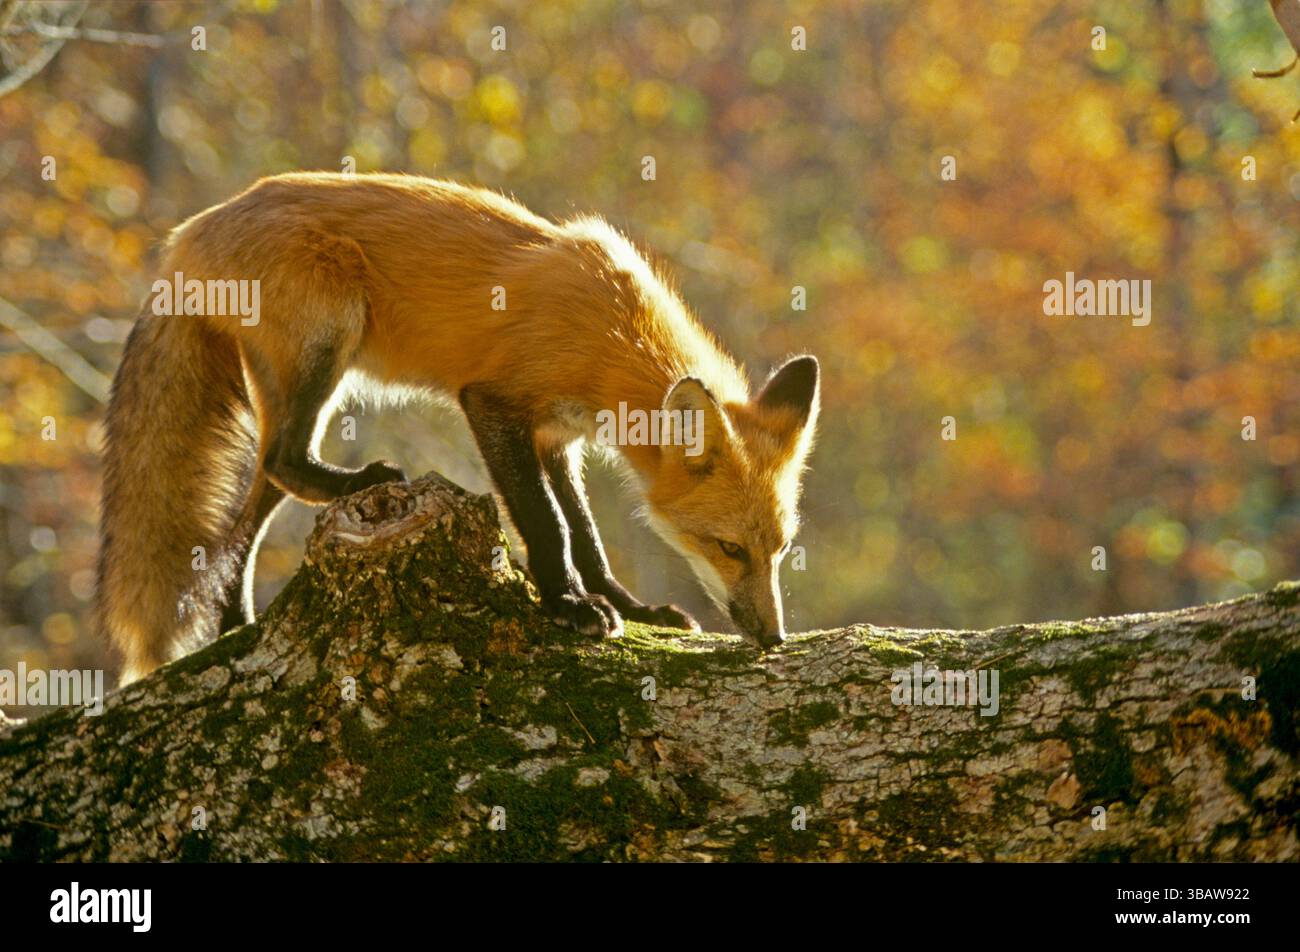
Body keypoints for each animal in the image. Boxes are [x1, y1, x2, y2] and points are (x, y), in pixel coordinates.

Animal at [97, 172, 820, 685]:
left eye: (780, 550)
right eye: (729, 549)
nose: (774, 639)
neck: (615, 336)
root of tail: (188, 233)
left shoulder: (556, 437)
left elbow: (587, 534)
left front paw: (629, 605)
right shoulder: (494, 406)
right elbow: (548, 524)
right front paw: (569, 604)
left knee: (247, 513)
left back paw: (236, 626)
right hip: (328, 340)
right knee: (278, 462)